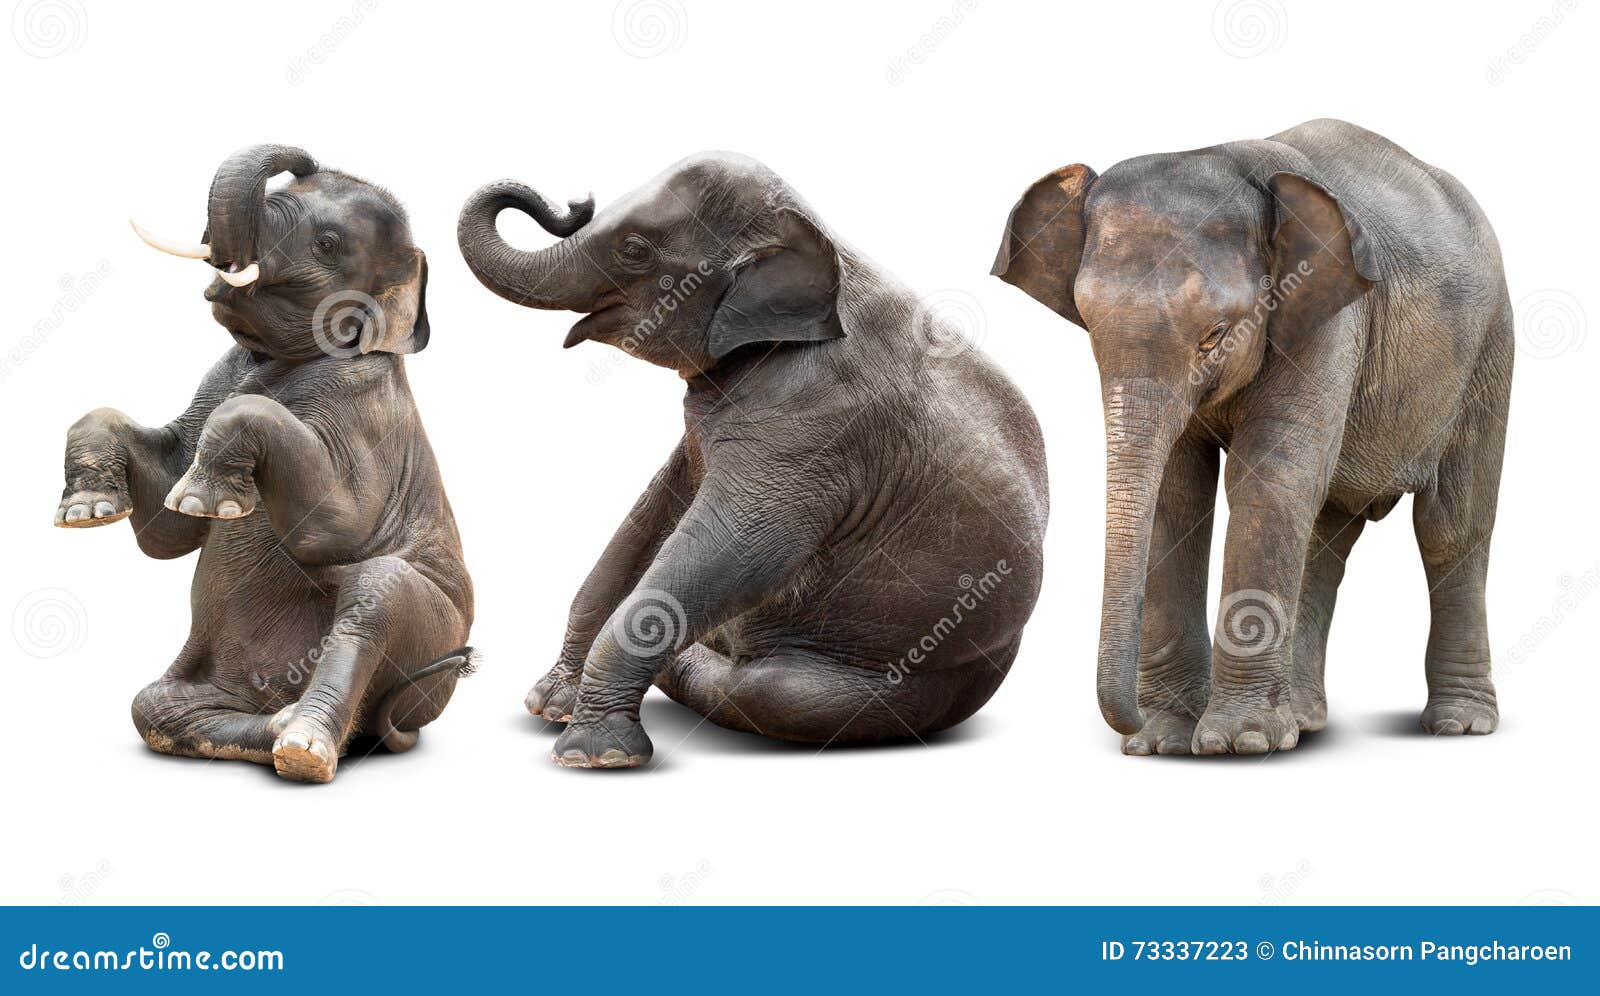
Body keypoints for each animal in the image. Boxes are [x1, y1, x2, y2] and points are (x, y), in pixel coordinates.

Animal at [57, 144, 474, 783]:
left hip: (436, 629)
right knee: (154, 706)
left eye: (327, 242)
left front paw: (209, 500)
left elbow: (337, 527)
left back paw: (306, 748)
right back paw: (276, 727)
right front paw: (88, 512)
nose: (301, 156)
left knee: (377, 591)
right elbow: (166, 533)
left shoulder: (363, 402)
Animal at [457, 152, 1047, 769]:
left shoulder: (813, 423)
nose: (574, 201)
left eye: (635, 250)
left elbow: (740, 549)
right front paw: (551, 706)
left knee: (773, 692)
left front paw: (595, 757)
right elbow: (647, 523)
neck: (825, 240)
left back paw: (689, 666)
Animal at [992, 118, 1512, 755]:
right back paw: (1305, 721)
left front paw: (1237, 744)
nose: (1132, 722)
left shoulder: (1327, 317)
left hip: (1489, 351)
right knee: (1326, 534)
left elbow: (1267, 478)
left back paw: (1459, 725)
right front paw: (1167, 741)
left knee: (1450, 527)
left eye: (1215, 335)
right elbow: (1178, 491)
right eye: (1088, 324)